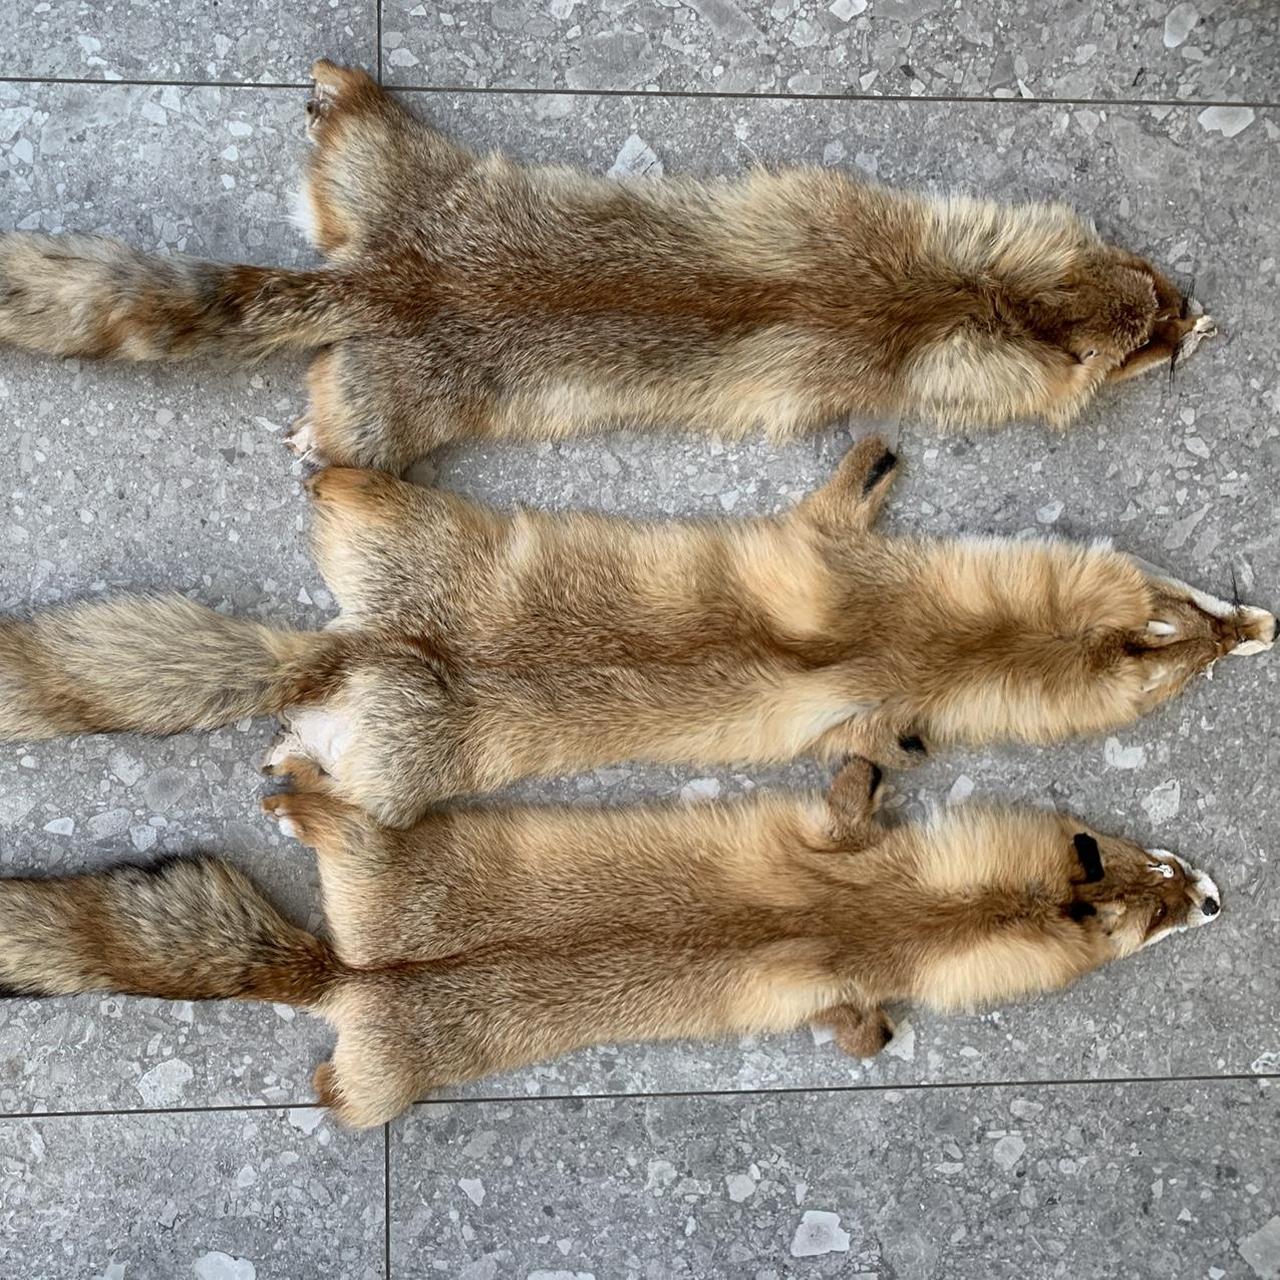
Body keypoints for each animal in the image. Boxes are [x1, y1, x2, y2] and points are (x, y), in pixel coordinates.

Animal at [0, 60, 1215, 473]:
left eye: (1153, 288)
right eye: (1142, 339)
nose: (1199, 317)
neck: (950, 294)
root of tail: (382, 277)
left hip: (388, 171)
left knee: (348, 129)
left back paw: (334, 87)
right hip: (393, 417)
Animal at [0, 439, 1271, 827]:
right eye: (1195, 628)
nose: (1261, 618)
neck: (912, 635)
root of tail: (357, 648)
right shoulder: (829, 552)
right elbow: (844, 494)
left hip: (386, 548)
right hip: (401, 777)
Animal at [0, 759, 1223, 1127]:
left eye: (1158, 873)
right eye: (1157, 905)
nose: (1216, 897)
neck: (897, 913)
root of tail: (347, 970)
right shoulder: (843, 912)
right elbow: (861, 1023)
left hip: (376, 852)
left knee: (326, 822)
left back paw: (296, 787)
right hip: (390, 1072)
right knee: (346, 1092)